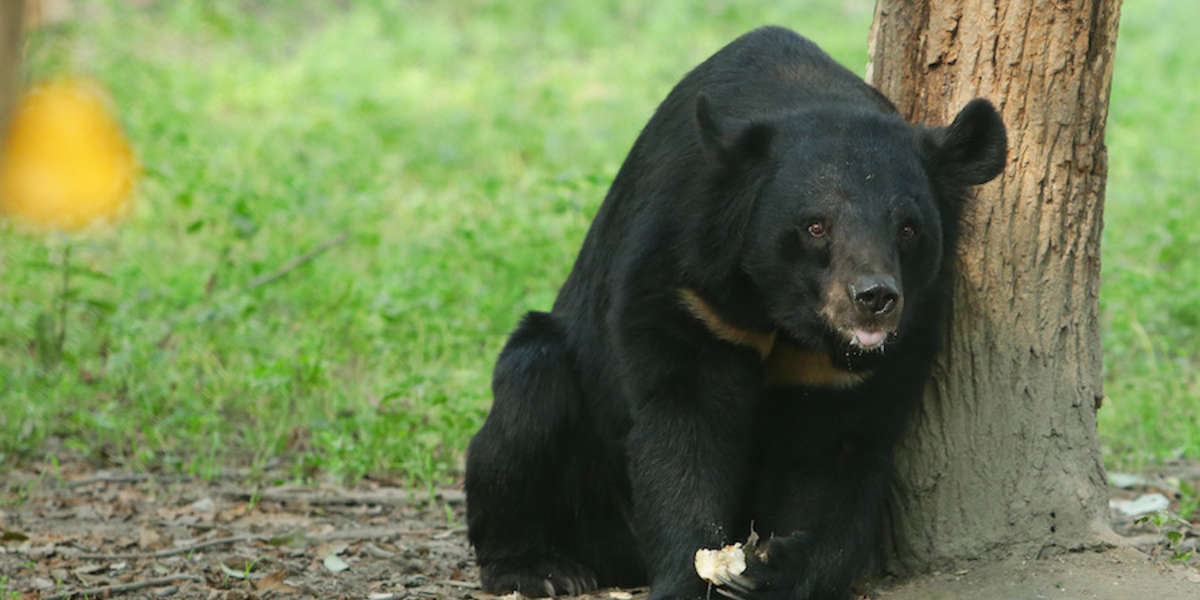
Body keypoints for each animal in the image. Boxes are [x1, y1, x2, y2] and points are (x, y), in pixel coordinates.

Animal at [465, 25, 1006, 600]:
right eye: (815, 226)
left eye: (908, 229)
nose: (875, 298)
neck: (782, 311)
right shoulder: (689, 286)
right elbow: (685, 421)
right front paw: (696, 572)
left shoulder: (881, 344)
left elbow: (836, 449)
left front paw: (772, 570)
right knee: (525, 408)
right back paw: (542, 568)